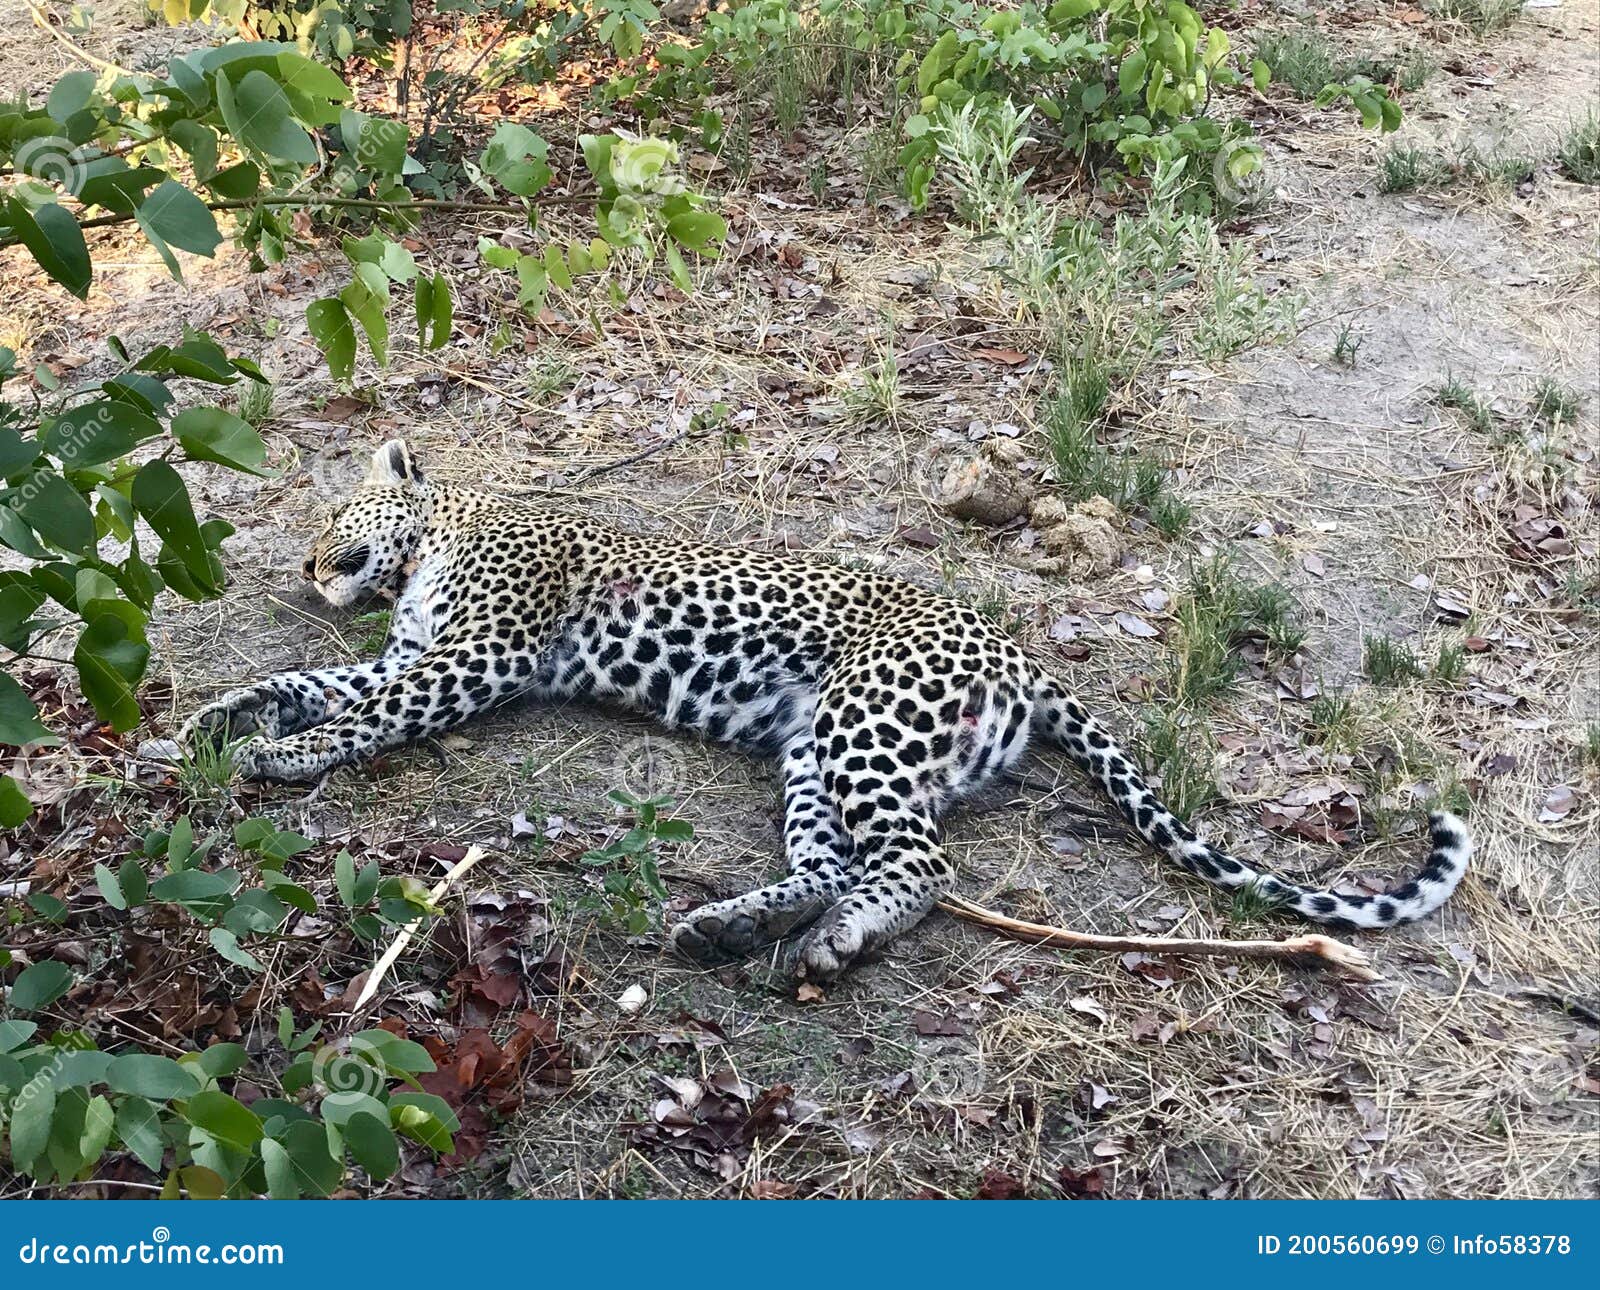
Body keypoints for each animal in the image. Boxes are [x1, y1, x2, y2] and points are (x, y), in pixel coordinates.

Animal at [176, 440, 1472, 982]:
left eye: (331, 509)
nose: (302, 565)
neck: (444, 533)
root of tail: (1013, 649)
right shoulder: (422, 652)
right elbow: (311, 686)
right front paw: (214, 724)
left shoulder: (474, 655)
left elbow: (362, 715)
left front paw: (288, 759)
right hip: (809, 750)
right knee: (837, 861)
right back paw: (734, 929)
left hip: (864, 728)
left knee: (919, 865)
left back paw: (828, 944)